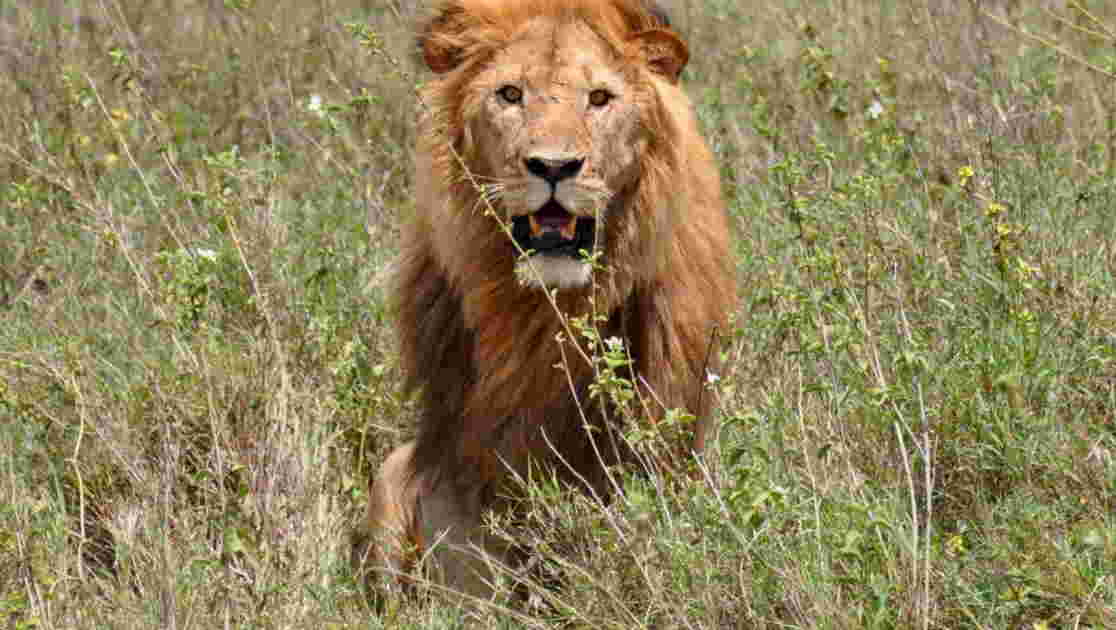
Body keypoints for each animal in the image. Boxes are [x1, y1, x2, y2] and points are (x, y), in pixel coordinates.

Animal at [354, 0, 736, 600]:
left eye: (599, 98)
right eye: (510, 94)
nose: (554, 167)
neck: (545, 315)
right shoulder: (458, 465)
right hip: (392, 473)